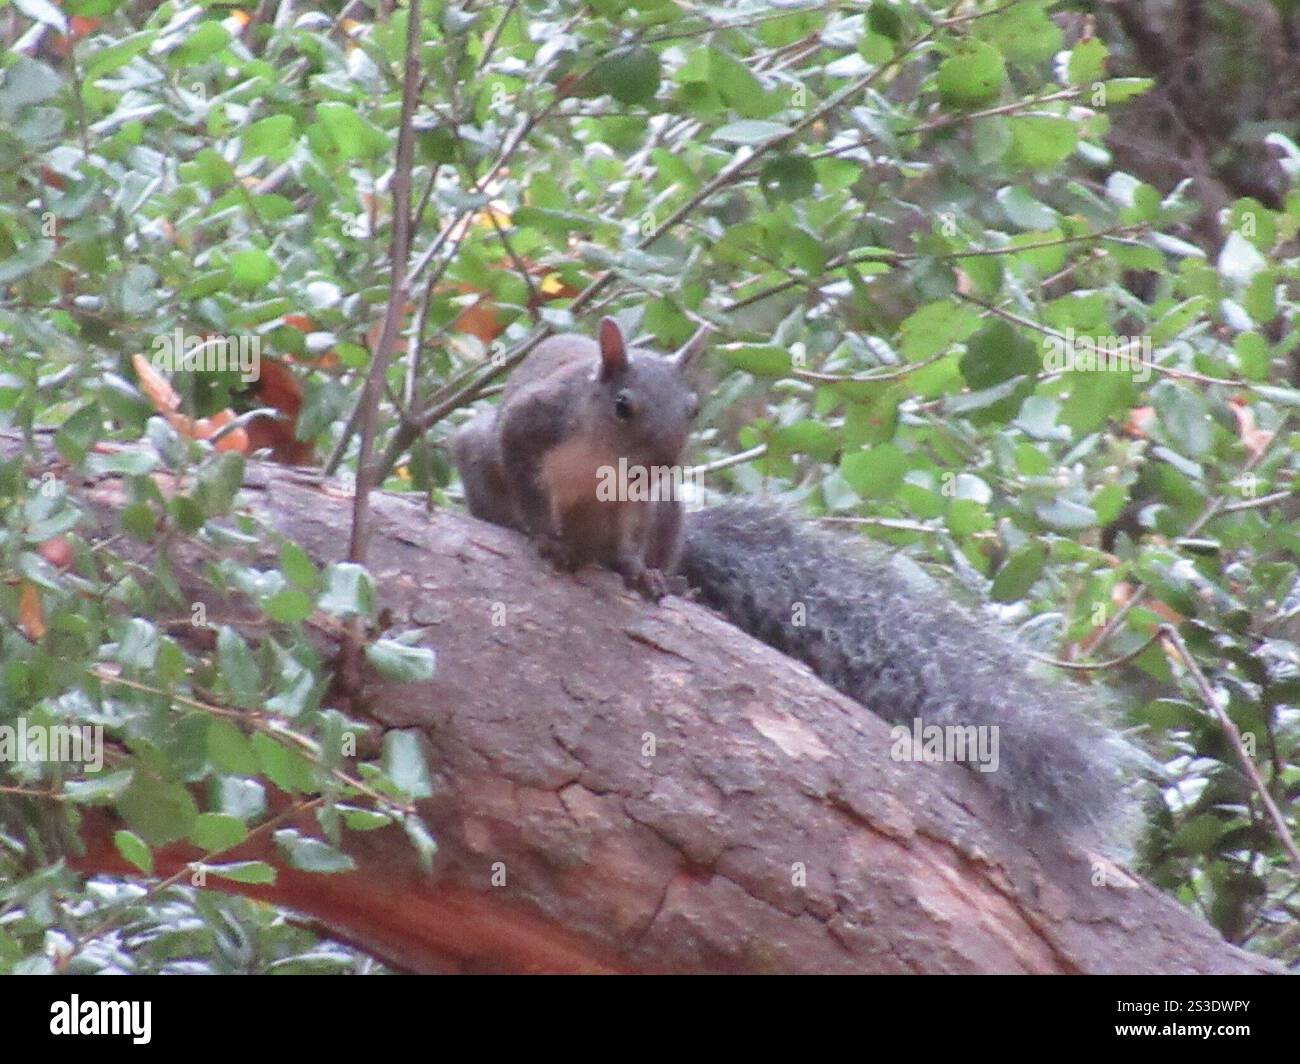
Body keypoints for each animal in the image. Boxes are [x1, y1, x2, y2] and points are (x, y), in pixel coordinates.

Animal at [452, 318, 1141, 838]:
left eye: (694, 407)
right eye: (623, 406)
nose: (667, 462)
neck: (603, 457)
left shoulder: (640, 501)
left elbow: (628, 544)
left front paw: (638, 573)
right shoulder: (530, 427)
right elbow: (526, 481)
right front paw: (543, 537)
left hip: (670, 512)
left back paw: (672, 583)